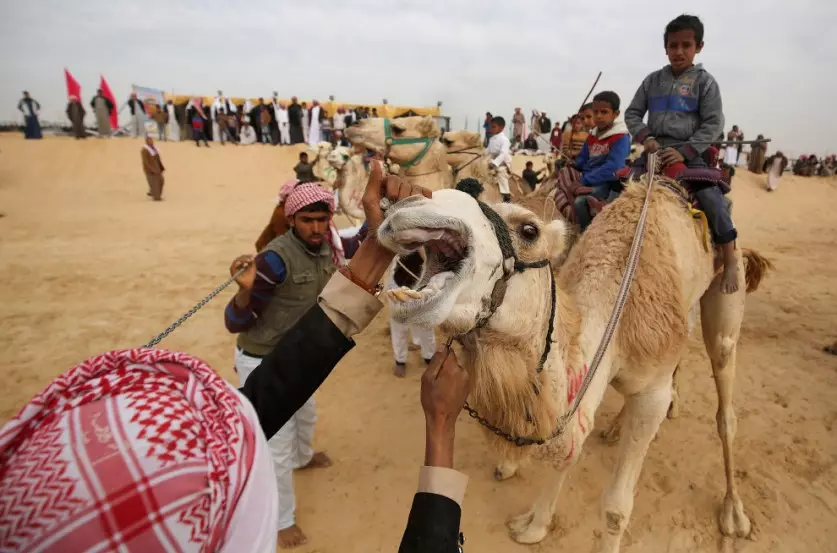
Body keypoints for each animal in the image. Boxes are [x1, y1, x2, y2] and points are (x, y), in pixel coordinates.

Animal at [378, 176, 772, 552]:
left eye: (529, 230)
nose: (407, 204)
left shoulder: (652, 392)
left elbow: (615, 508)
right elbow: (569, 448)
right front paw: (534, 525)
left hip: (726, 293)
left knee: (724, 400)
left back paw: (734, 513)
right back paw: (618, 427)